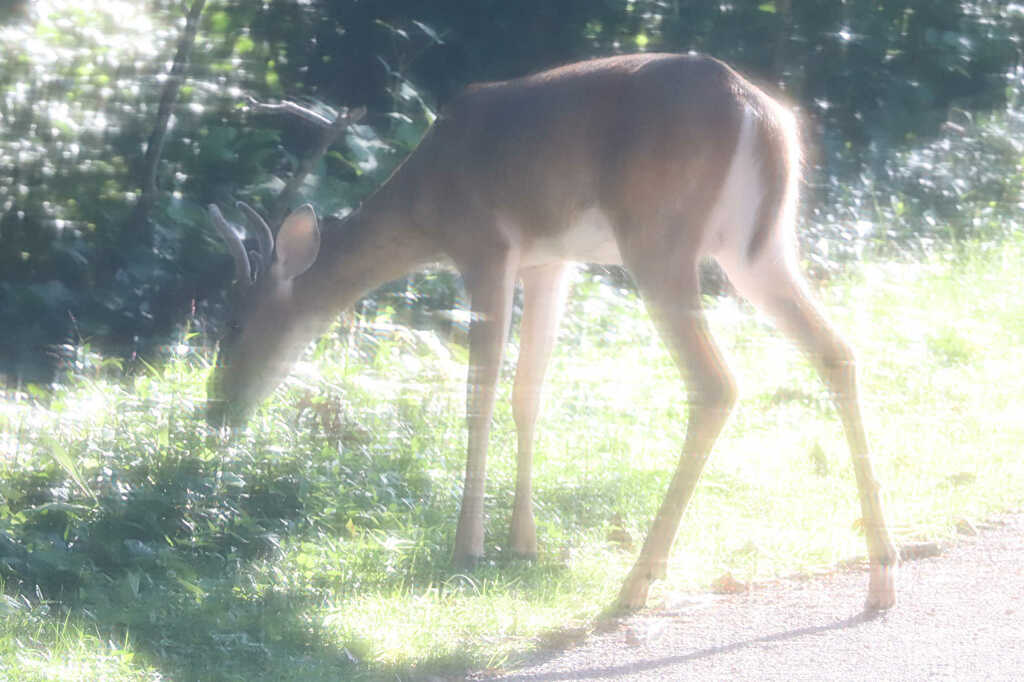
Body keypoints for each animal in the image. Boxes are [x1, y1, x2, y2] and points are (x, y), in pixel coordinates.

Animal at [206, 53, 898, 611]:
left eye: (233, 324)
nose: (216, 413)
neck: (425, 201)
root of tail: (760, 113)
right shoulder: (551, 262)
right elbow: (527, 394)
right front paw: (524, 543)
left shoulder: (485, 247)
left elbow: (478, 396)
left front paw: (468, 548)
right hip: (758, 249)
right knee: (836, 351)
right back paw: (882, 578)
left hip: (660, 239)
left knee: (717, 383)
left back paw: (634, 584)